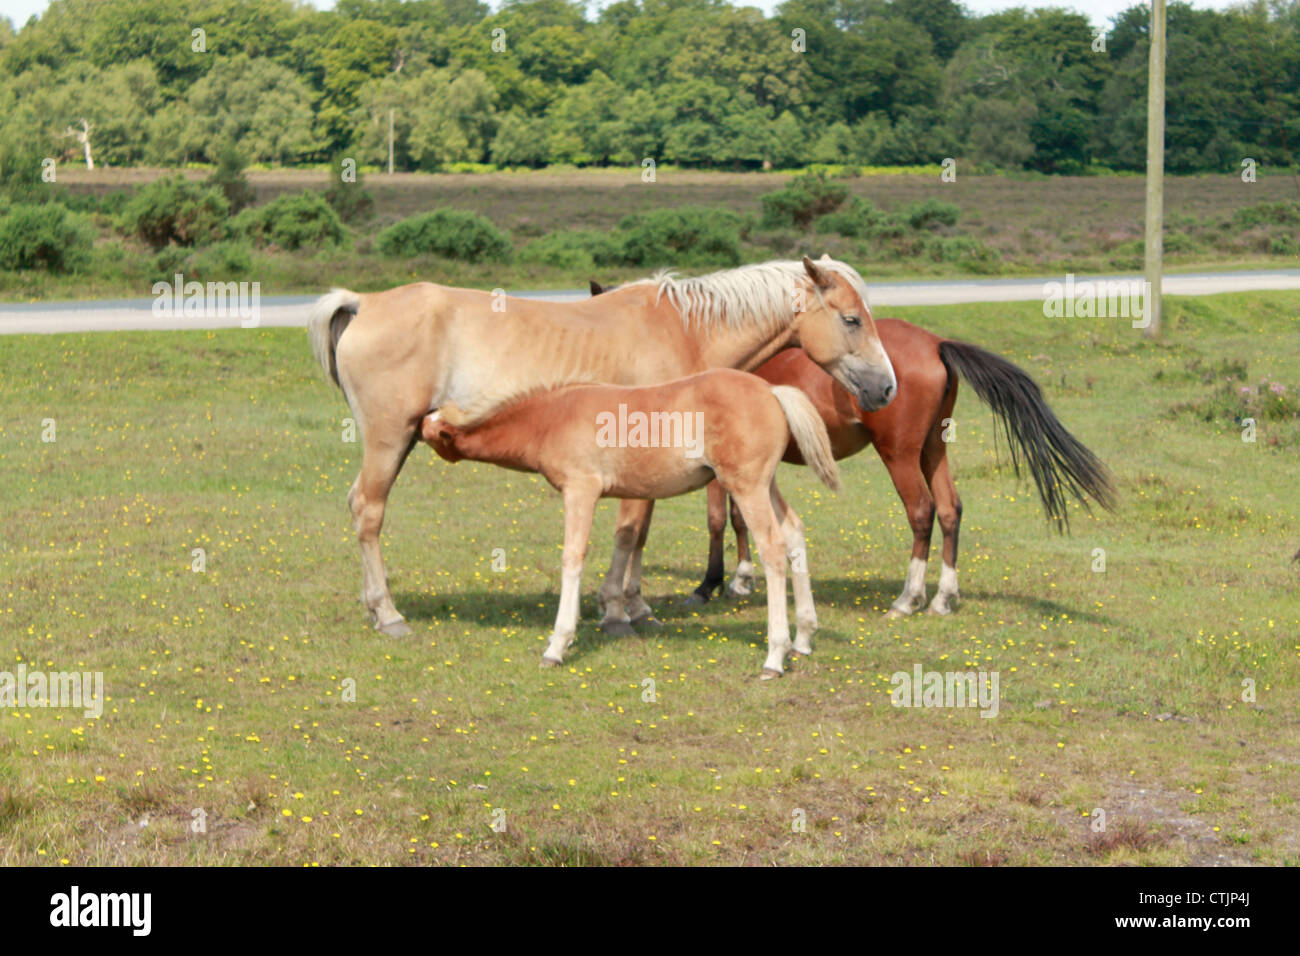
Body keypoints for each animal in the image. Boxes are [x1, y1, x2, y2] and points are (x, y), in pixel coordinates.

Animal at [307, 257, 896, 639]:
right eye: (851, 319)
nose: (886, 389)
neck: (683, 331)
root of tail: (363, 303)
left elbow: (640, 533)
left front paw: (635, 606)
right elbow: (629, 531)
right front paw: (615, 612)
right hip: (390, 440)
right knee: (368, 510)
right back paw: (387, 614)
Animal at [420, 368, 841, 678]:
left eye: (428, 433)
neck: (550, 418)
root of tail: (771, 390)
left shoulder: (581, 489)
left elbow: (573, 558)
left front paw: (557, 646)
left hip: (746, 485)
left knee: (773, 546)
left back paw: (775, 656)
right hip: (765, 484)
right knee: (794, 531)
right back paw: (803, 638)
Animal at [589, 282, 1116, 616]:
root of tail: (935, 342)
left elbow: (721, 518)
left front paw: (715, 582)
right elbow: (740, 519)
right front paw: (741, 578)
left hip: (900, 456)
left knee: (922, 512)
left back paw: (909, 598)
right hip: (932, 450)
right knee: (950, 510)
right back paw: (943, 598)